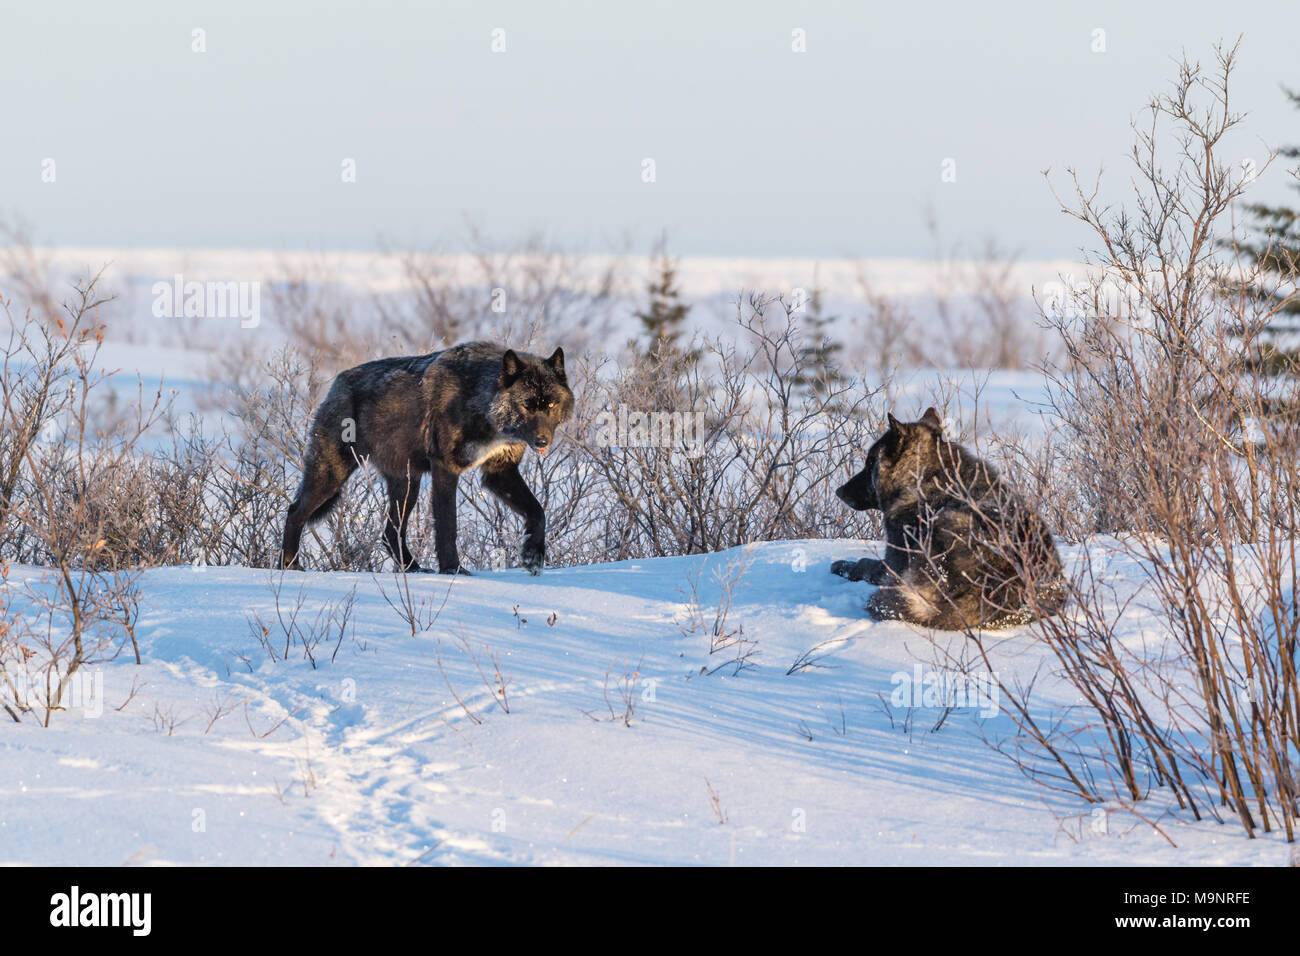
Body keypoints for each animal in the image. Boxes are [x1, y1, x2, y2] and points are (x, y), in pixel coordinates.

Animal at [281, 342, 574, 575]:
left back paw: (414, 569)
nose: (542, 441)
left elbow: (538, 511)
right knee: (294, 512)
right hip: (332, 475)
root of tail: (338, 382)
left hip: (407, 485)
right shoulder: (446, 468)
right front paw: (453, 569)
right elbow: (447, 524)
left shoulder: (500, 472)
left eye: (550, 404)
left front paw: (533, 555)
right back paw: (289, 565)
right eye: (526, 405)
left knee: (389, 533)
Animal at [831, 407, 1065, 630]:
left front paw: (841, 565)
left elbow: (863, 564)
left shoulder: (892, 564)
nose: (838, 491)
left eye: (870, 463)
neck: (927, 475)